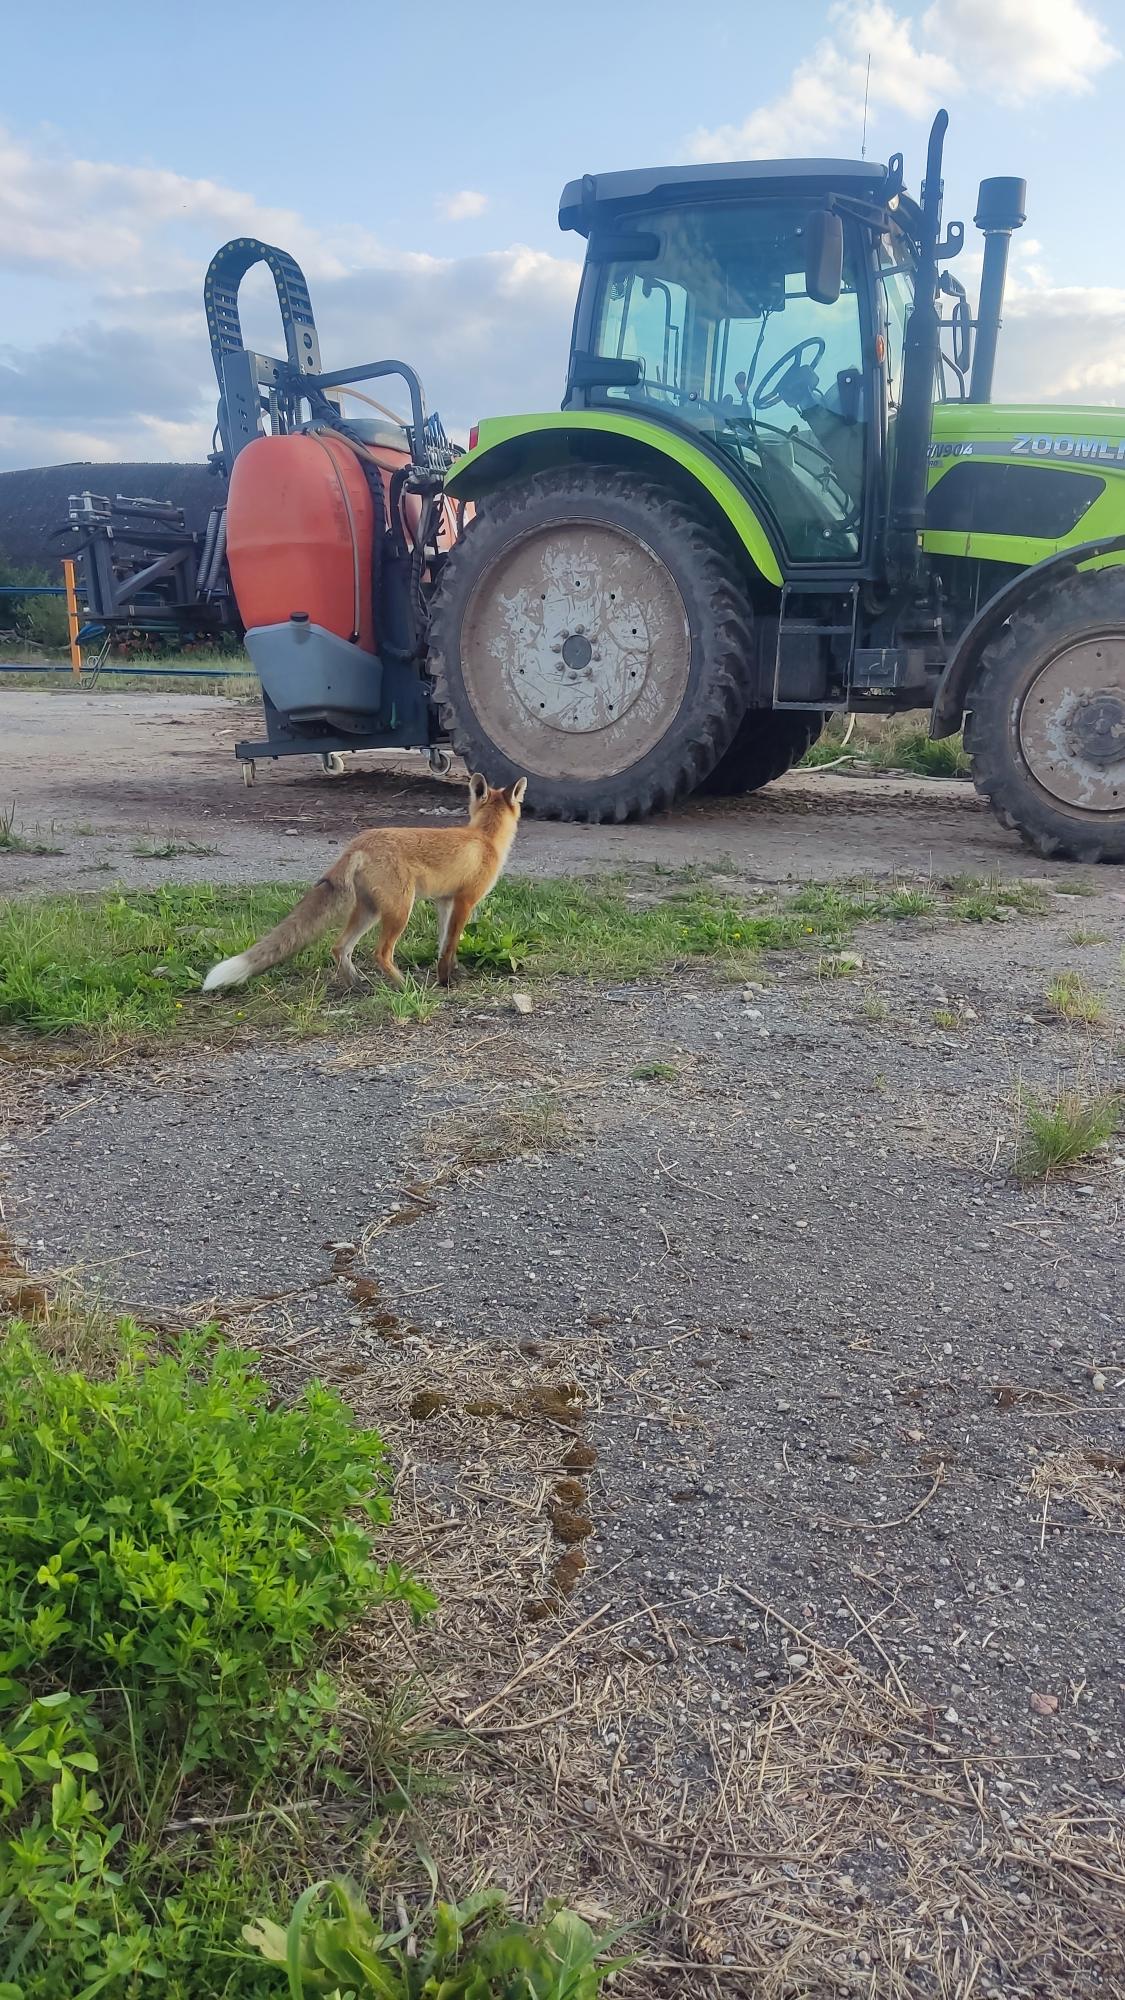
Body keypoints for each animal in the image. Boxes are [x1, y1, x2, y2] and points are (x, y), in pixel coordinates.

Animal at [201, 772, 524, 992]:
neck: (484, 839)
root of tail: (357, 844)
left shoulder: (444, 902)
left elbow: (443, 943)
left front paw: (452, 973)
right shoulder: (465, 901)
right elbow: (449, 947)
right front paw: (445, 981)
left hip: (369, 911)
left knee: (339, 947)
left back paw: (356, 984)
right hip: (399, 911)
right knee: (380, 953)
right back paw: (403, 986)